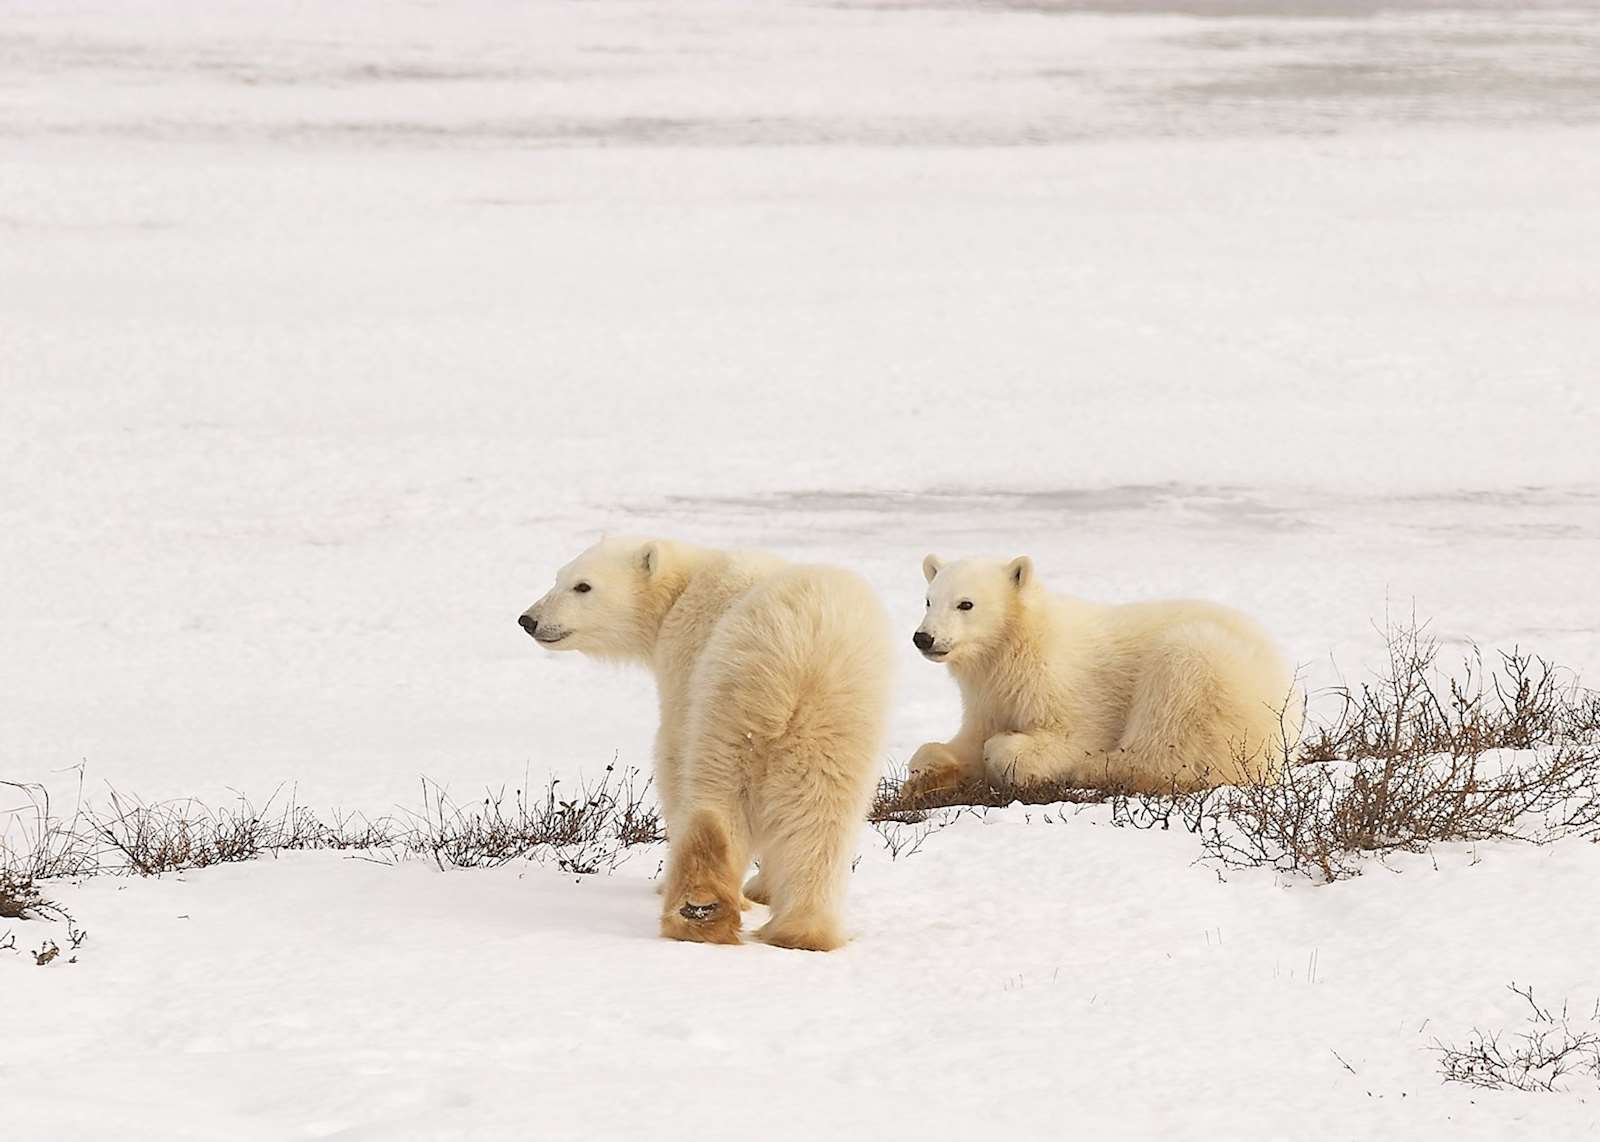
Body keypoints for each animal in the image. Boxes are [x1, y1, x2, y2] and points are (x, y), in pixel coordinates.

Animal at [520, 537, 893, 951]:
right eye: (560, 576)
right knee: (824, 818)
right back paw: (802, 930)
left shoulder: (684, 656)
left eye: (583, 586)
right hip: (840, 724)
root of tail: (798, 656)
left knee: (717, 797)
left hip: (731, 703)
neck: (684, 586)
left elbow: (671, 753)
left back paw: (698, 911)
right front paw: (764, 890)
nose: (529, 619)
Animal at [907, 554, 1298, 796]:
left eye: (965, 604)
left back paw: (1097, 768)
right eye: (928, 600)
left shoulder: (1066, 687)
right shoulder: (990, 695)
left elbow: (1064, 739)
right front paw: (930, 774)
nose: (923, 637)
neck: (1018, 646)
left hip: (1211, 668)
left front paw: (1014, 755)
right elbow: (965, 740)